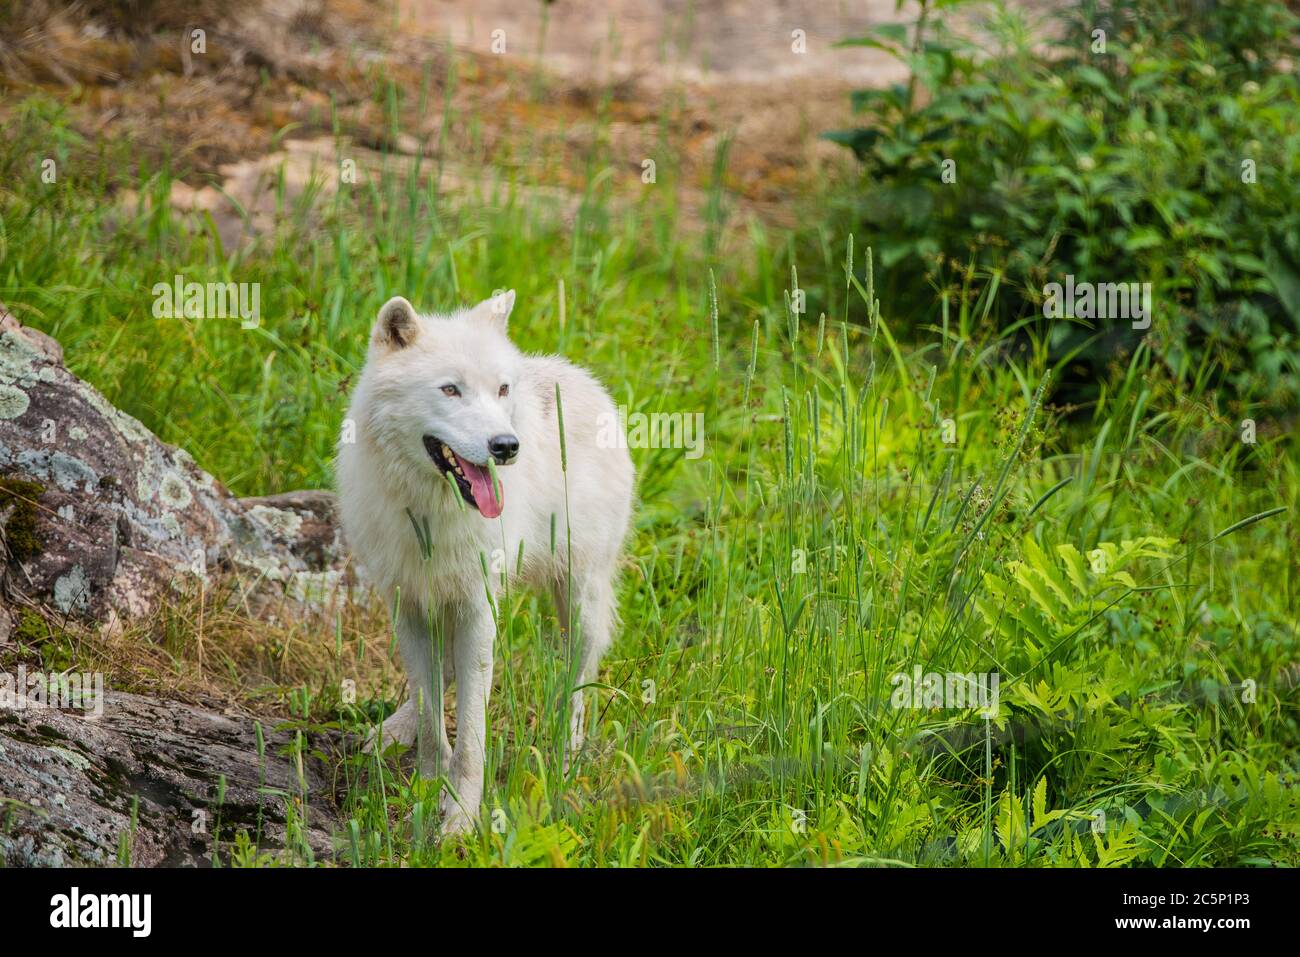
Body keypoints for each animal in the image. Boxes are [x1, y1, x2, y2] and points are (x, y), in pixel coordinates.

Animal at [336, 291, 634, 834]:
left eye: (500, 390)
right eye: (450, 389)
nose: (506, 446)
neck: (432, 513)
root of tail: (578, 377)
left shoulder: (478, 608)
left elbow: (473, 727)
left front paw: (460, 816)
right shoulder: (410, 605)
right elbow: (431, 708)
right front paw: (429, 782)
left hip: (579, 603)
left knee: (577, 687)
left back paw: (566, 762)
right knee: (436, 678)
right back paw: (392, 730)